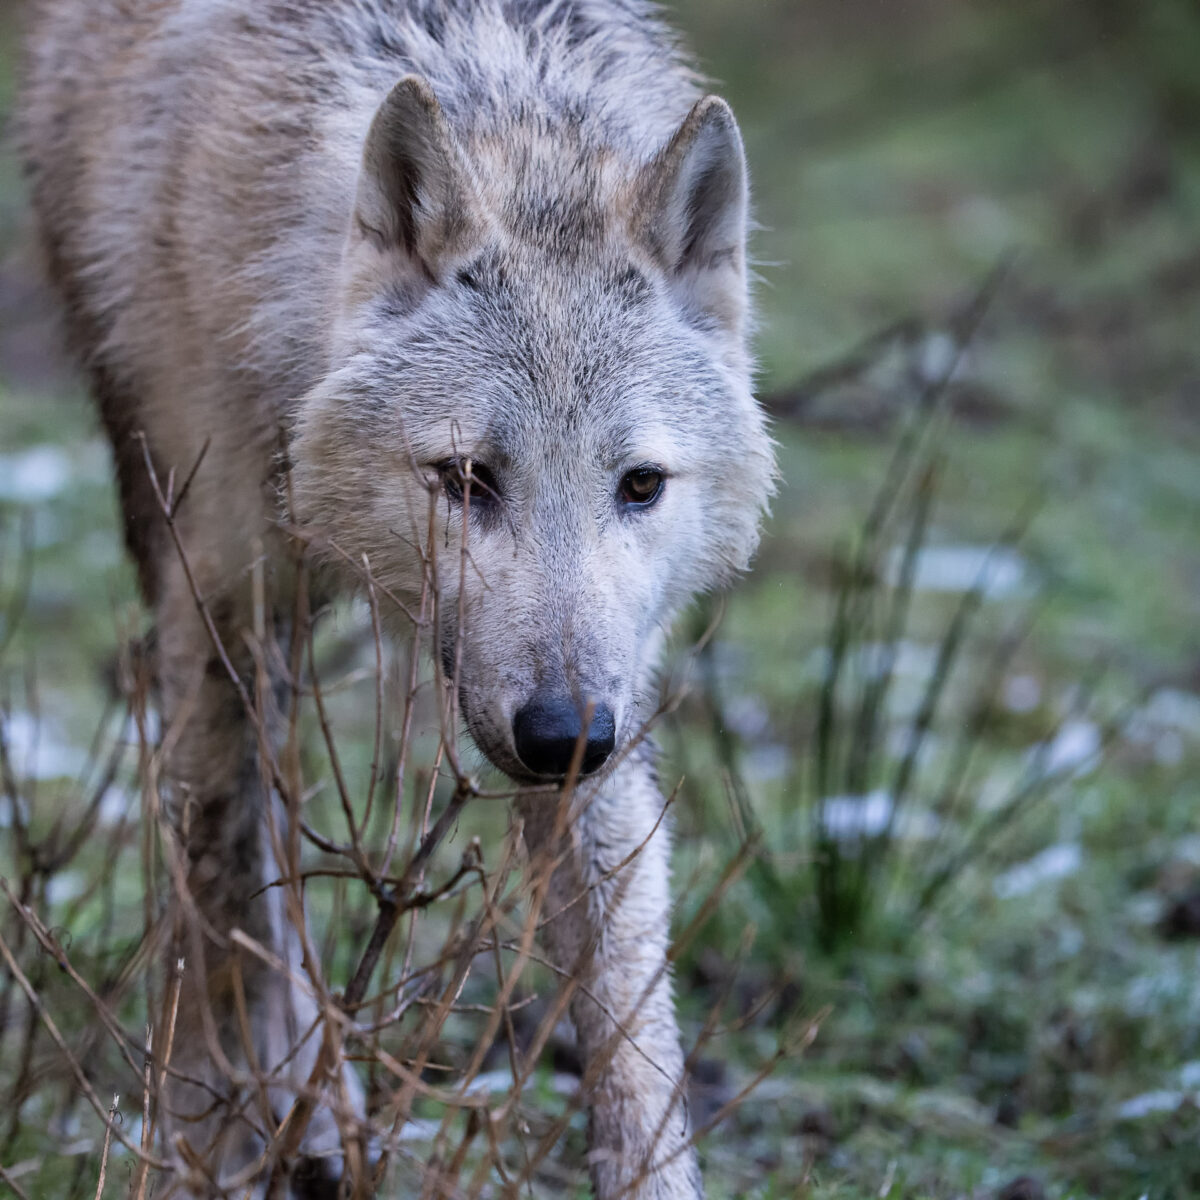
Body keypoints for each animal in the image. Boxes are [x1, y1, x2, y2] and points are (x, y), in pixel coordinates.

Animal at [20, 0, 774, 1195]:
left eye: (640, 485)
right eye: (467, 478)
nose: (562, 734)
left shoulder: (611, 698)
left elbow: (623, 1001)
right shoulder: (217, 598)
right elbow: (219, 891)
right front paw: (216, 1147)